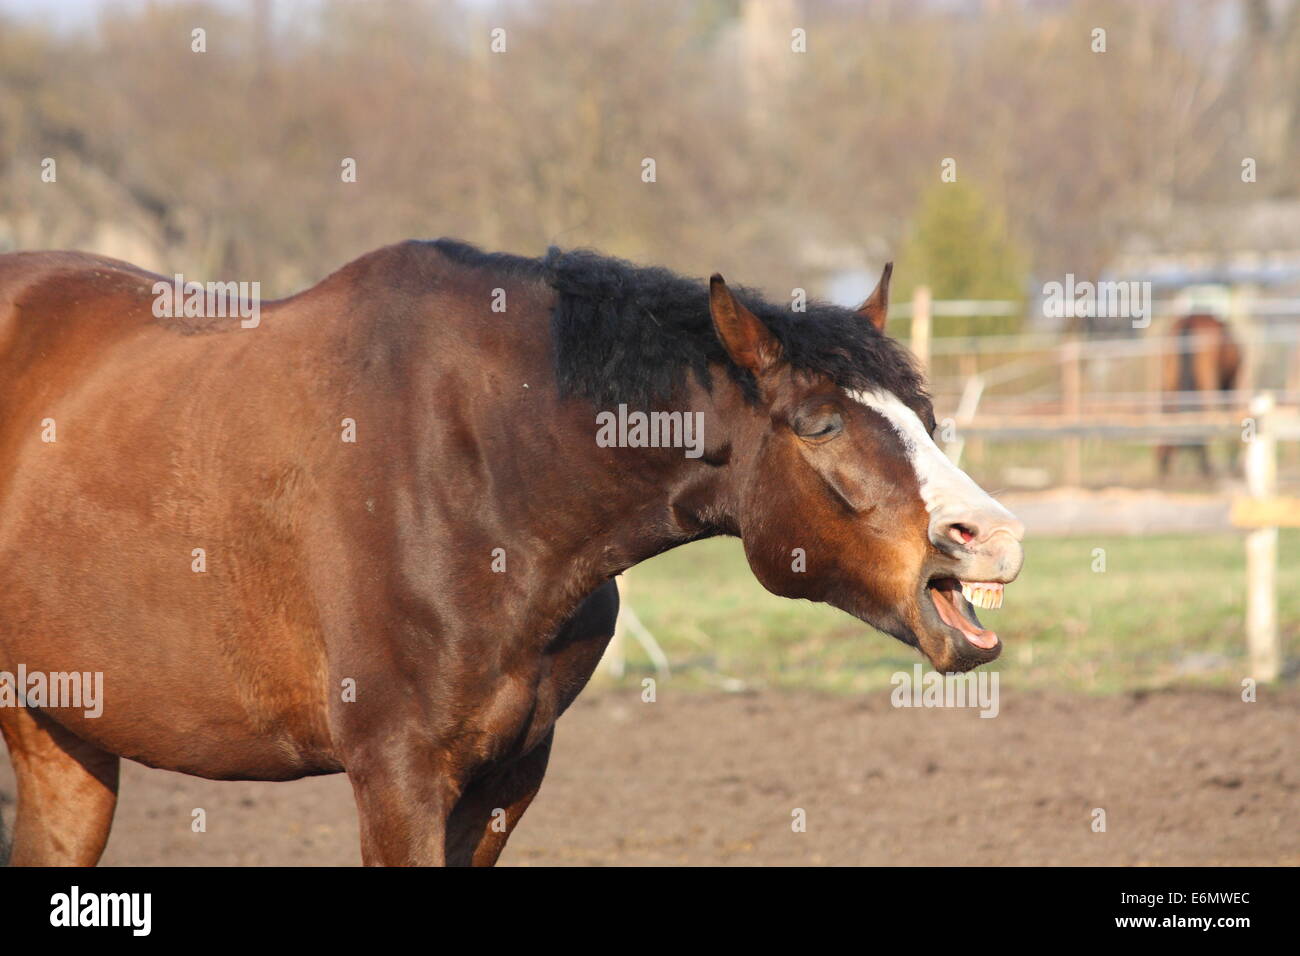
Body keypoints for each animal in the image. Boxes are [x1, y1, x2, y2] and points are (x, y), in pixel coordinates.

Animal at [0, 240, 1023, 866]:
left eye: (925, 414)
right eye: (818, 422)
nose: (993, 538)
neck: (486, 470)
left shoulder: (506, 779)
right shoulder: (396, 779)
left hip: (63, 737)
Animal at [1156, 313, 1242, 478]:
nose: (1162, 464)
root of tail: (1189, 321)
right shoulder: (1231, 383)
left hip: (1173, 380)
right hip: (1209, 381)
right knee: (1207, 413)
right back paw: (1207, 465)